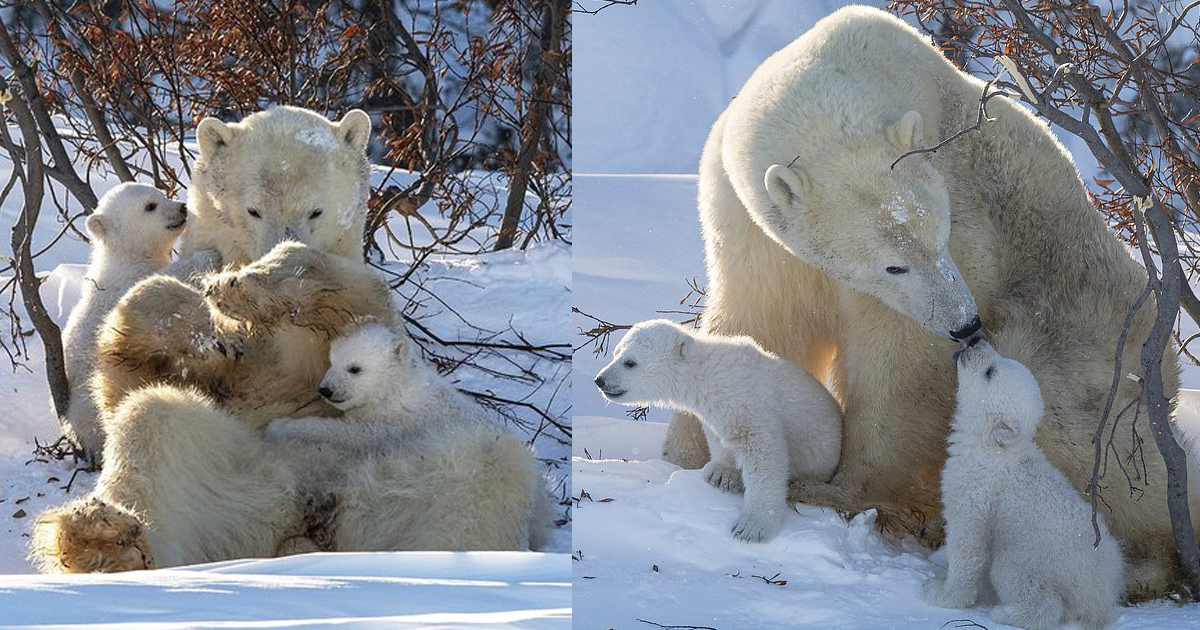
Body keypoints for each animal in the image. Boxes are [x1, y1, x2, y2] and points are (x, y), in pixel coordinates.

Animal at [61, 183, 187, 462]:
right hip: (90, 406)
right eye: (150, 206)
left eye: (160, 193)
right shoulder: (128, 289)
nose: (182, 207)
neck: (128, 258)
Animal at [594, 319, 841, 543]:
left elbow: (764, 454)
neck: (707, 373)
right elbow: (719, 438)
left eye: (630, 362)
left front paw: (752, 528)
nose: (600, 380)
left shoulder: (748, 402)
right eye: (615, 353)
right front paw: (722, 474)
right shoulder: (716, 410)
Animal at [659, 6, 1188, 596]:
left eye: (942, 234)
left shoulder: (965, 209)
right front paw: (694, 456)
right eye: (894, 264)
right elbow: (764, 318)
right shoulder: (750, 221)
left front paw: (836, 491)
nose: (966, 325)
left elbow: (903, 365)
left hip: (1096, 347)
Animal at [922, 338, 1125, 630]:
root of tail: (1097, 598)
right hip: (1112, 557)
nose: (976, 340)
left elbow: (969, 542)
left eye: (990, 371)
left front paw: (940, 593)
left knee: (1033, 591)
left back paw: (1006, 613)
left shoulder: (975, 488)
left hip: (1030, 558)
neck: (995, 448)